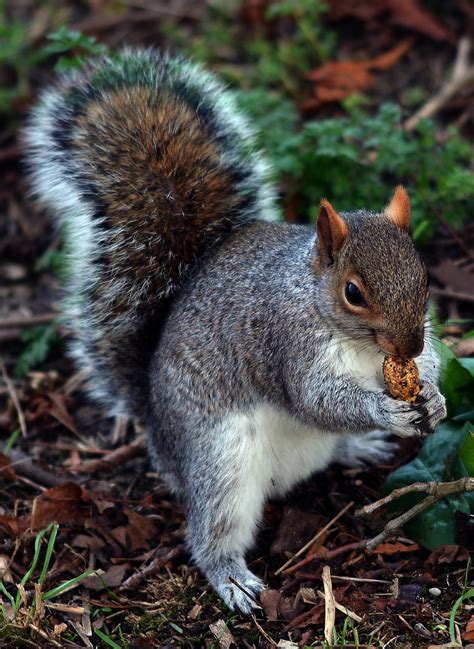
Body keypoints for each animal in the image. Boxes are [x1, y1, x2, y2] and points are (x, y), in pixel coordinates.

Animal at [24, 49, 446, 613]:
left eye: (424, 274)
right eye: (354, 292)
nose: (409, 343)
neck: (359, 346)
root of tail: (162, 439)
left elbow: (427, 368)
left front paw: (435, 398)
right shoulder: (287, 344)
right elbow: (316, 399)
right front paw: (386, 410)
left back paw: (360, 447)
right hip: (221, 460)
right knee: (212, 532)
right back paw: (231, 577)